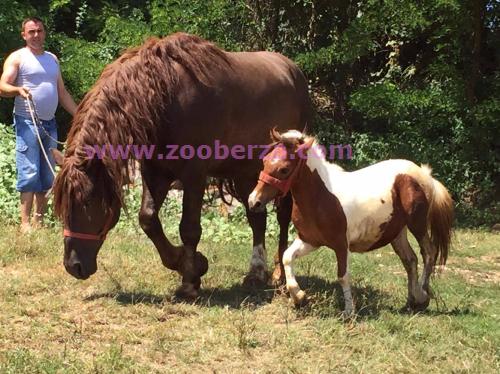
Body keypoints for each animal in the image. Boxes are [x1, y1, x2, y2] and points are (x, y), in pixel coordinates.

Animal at [52, 33, 310, 300]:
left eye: (87, 202)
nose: (73, 266)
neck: (165, 100)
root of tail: (293, 70)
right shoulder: (156, 173)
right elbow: (148, 219)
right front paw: (188, 264)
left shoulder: (194, 176)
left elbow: (189, 229)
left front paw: (189, 281)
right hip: (246, 173)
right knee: (257, 218)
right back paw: (256, 273)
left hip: (282, 175)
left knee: (282, 216)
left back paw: (280, 274)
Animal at [248, 130, 456, 314]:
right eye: (265, 161)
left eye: (284, 169)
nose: (253, 201)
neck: (321, 197)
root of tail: (425, 175)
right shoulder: (310, 240)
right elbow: (287, 257)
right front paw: (300, 298)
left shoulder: (341, 244)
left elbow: (343, 276)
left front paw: (349, 311)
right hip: (397, 232)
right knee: (410, 260)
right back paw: (411, 301)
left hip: (417, 224)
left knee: (428, 253)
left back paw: (423, 296)